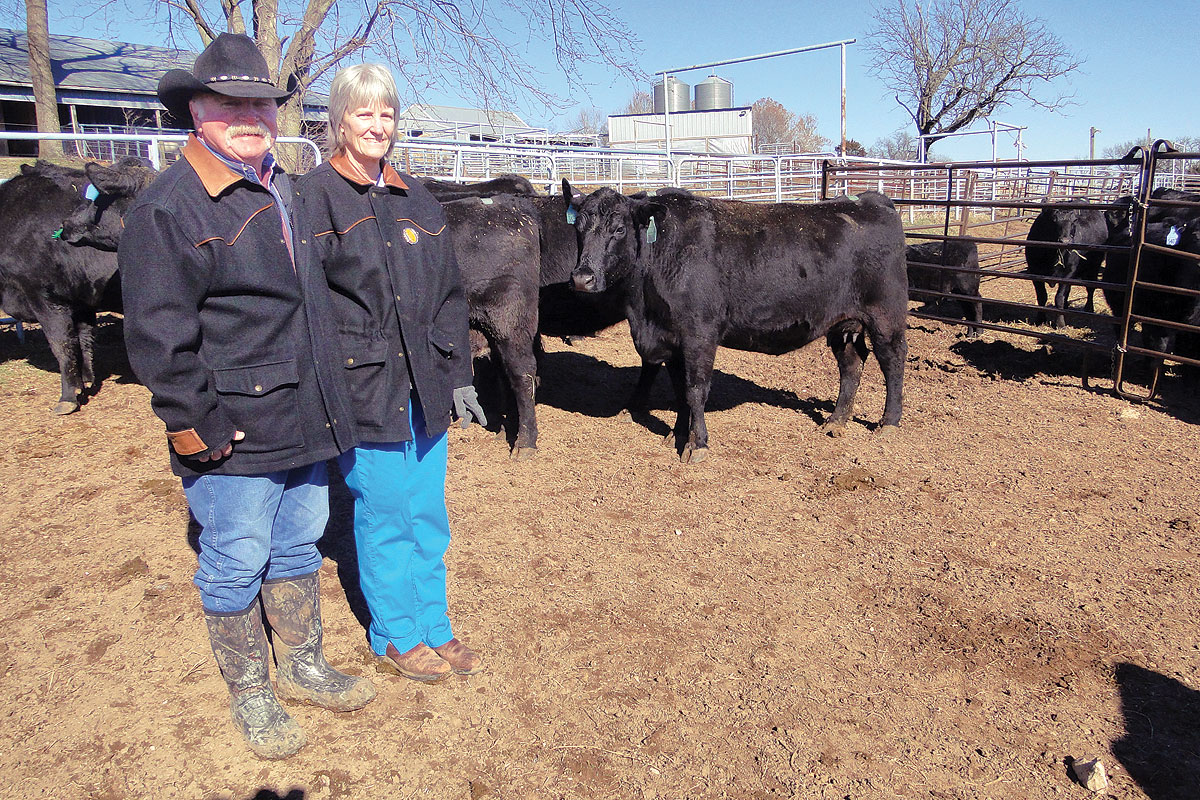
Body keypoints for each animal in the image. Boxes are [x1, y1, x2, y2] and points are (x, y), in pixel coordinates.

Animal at [0, 159, 148, 414]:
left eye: (96, 200)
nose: (65, 224)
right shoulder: (80, 298)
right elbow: (83, 338)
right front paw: (85, 380)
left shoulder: (40, 294)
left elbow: (61, 344)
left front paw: (67, 397)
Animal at [564, 180, 909, 463]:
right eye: (578, 228)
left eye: (619, 229)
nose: (582, 278)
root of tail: (870, 201)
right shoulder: (670, 337)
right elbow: (679, 389)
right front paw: (677, 434)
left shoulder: (699, 334)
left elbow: (695, 389)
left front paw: (697, 444)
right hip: (843, 323)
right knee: (851, 364)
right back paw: (836, 420)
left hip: (886, 317)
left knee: (892, 361)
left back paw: (889, 423)